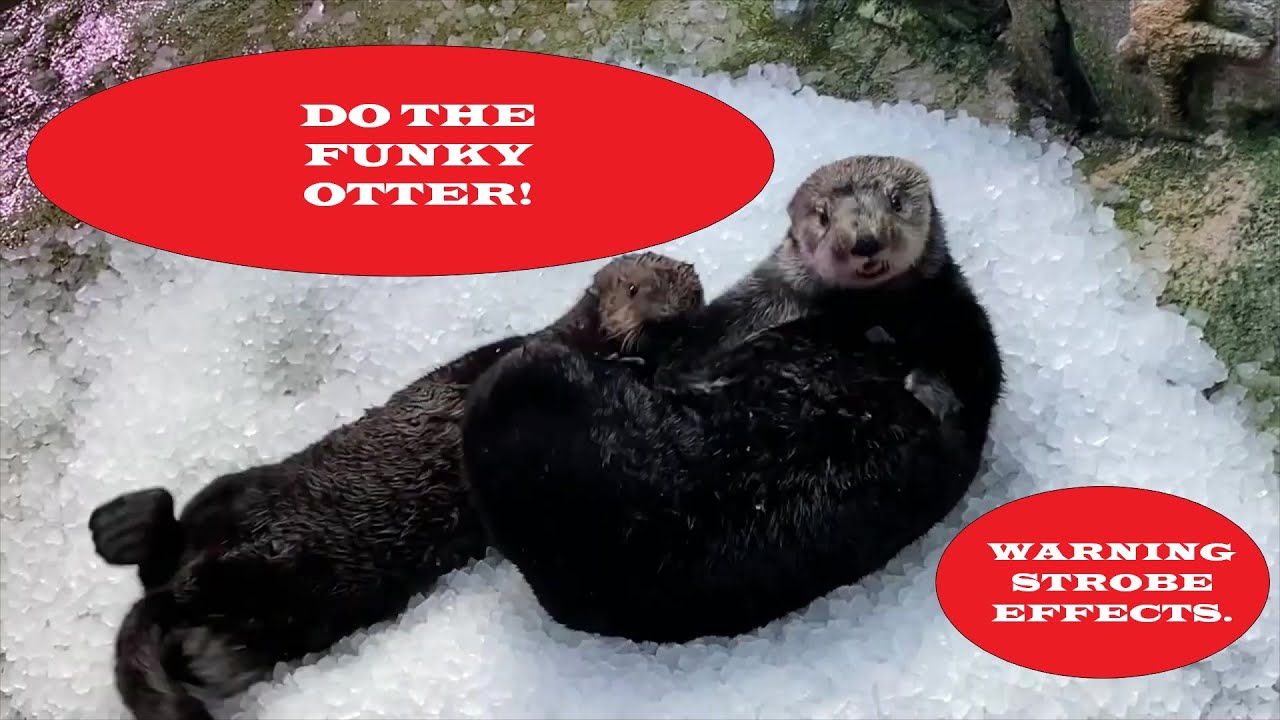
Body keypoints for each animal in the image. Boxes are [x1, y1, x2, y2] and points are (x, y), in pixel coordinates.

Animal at [87, 252, 704, 720]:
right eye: (634, 288)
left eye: (687, 303)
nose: (662, 321)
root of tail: (195, 577)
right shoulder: (508, 354)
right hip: (238, 500)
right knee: (173, 547)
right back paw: (127, 528)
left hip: (286, 614)